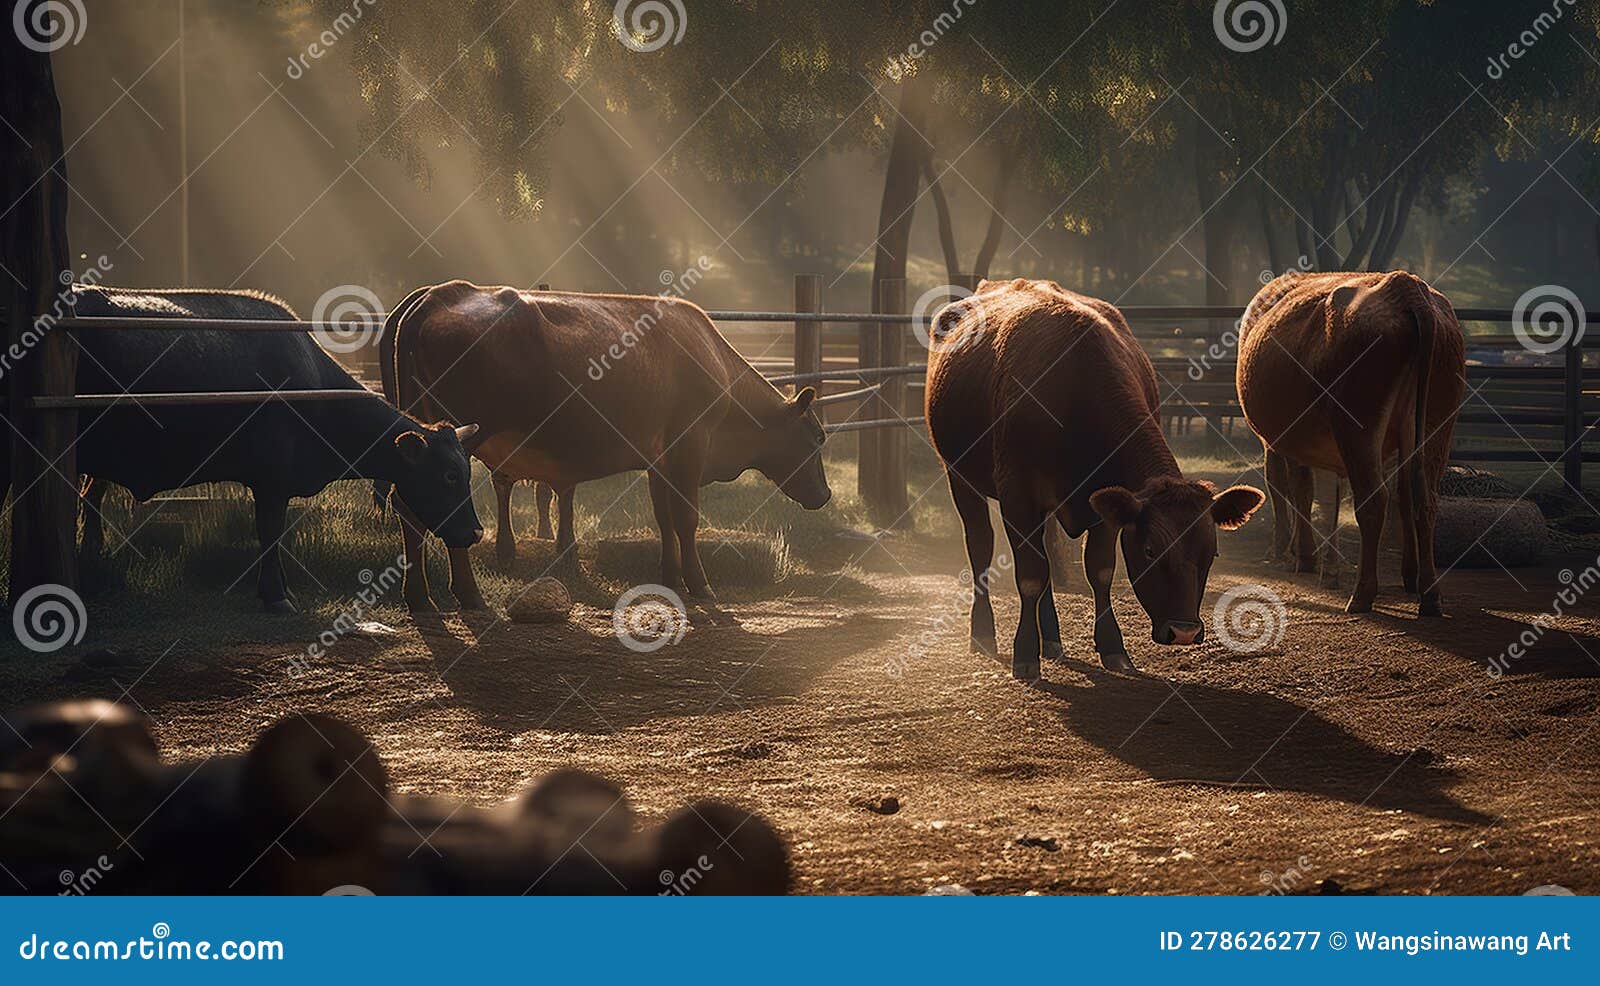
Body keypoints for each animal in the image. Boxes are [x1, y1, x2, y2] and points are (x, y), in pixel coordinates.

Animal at [15, 285, 484, 612]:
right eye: (448, 475)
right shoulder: (271, 479)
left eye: (465, 471)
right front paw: (276, 595)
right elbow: (270, 532)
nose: (476, 533)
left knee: (85, 500)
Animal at [374, 281, 831, 614]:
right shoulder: (690, 444)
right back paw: (467, 594)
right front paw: (701, 585)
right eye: (816, 437)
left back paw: (420, 597)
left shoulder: (659, 459)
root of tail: (437, 294)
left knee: (409, 509)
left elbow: (664, 518)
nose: (825, 494)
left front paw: (670, 578)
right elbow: (686, 519)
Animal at [925, 278, 1264, 681]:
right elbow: (1029, 575)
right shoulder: (1018, 495)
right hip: (958, 475)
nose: (1184, 631)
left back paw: (1052, 639)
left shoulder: (1107, 503)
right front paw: (1025, 654)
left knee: (1047, 558)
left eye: (1210, 552)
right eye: (1150, 551)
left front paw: (1113, 648)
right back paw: (983, 633)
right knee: (981, 546)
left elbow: (1098, 571)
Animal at [1236, 270, 1464, 616]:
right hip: (1436, 422)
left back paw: (1362, 594)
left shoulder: (1274, 442)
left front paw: (1294, 553)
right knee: (1420, 497)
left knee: (1374, 501)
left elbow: (1286, 487)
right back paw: (1426, 591)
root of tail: (1403, 285)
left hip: (1358, 424)